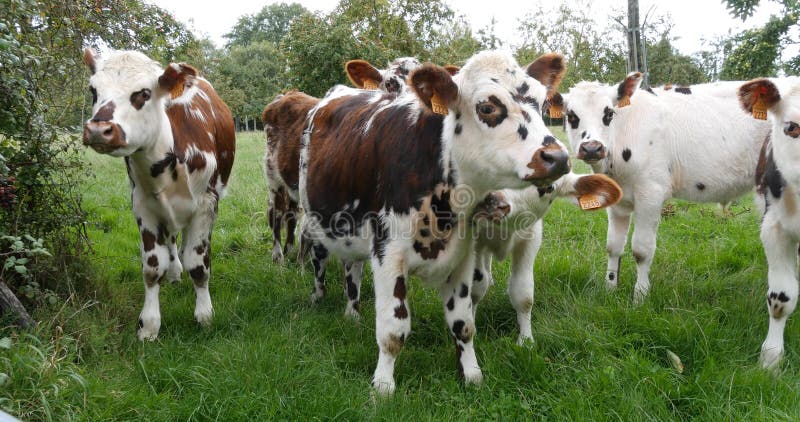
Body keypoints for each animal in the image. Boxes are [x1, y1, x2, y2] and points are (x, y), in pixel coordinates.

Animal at [82, 49, 235, 340]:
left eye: (143, 93)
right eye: (93, 90)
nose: (98, 130)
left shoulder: (206, 204)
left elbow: (199, 264)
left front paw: (205, 316)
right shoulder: (143, 206)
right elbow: (152, 267)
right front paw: (149, 325)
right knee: (172, 240)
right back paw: (175, 272)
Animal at [298, 50, 572, 394]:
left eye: (542, 102)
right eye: (487, 107)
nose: (557, 157)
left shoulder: (464, 253)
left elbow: (463, 323)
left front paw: (471, 373)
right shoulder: (387, 252)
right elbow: (392, 329)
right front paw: (383, 385)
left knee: (353, 267)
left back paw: (352, 312)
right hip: (316, 221)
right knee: (320, 260)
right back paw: (320, 297)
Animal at [561, 73, 769, 302]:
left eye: (608, 113)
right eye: (571, 116)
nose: (592, 148)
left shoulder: (650, 193)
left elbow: (641, 250)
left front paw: (640, 296)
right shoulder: (617, 201)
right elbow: (613, 246)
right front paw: (610, 289)